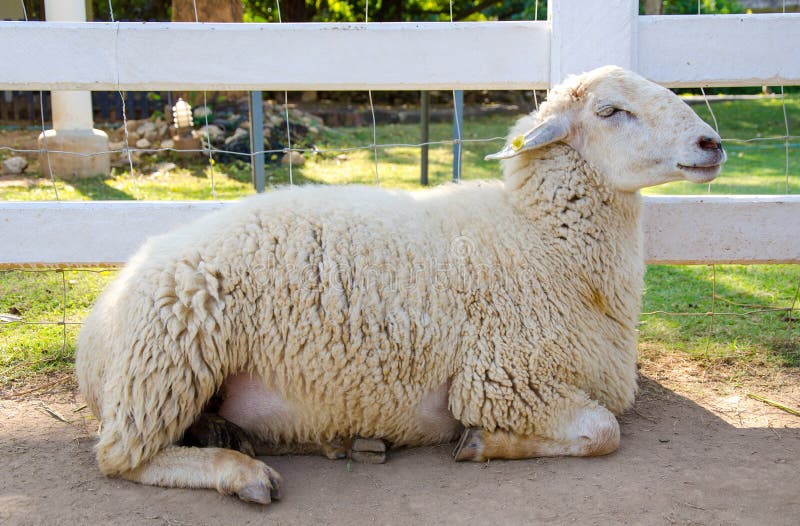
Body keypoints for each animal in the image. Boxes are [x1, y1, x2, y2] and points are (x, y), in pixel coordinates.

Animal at [75, 65, 725, 504]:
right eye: (611, 111)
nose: (711, 144)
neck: (535, 239)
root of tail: (94, 329)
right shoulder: (502, 379)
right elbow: (603, 431)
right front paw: (483, 443)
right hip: (166, 364)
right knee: (121, 458)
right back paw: (242, 474)